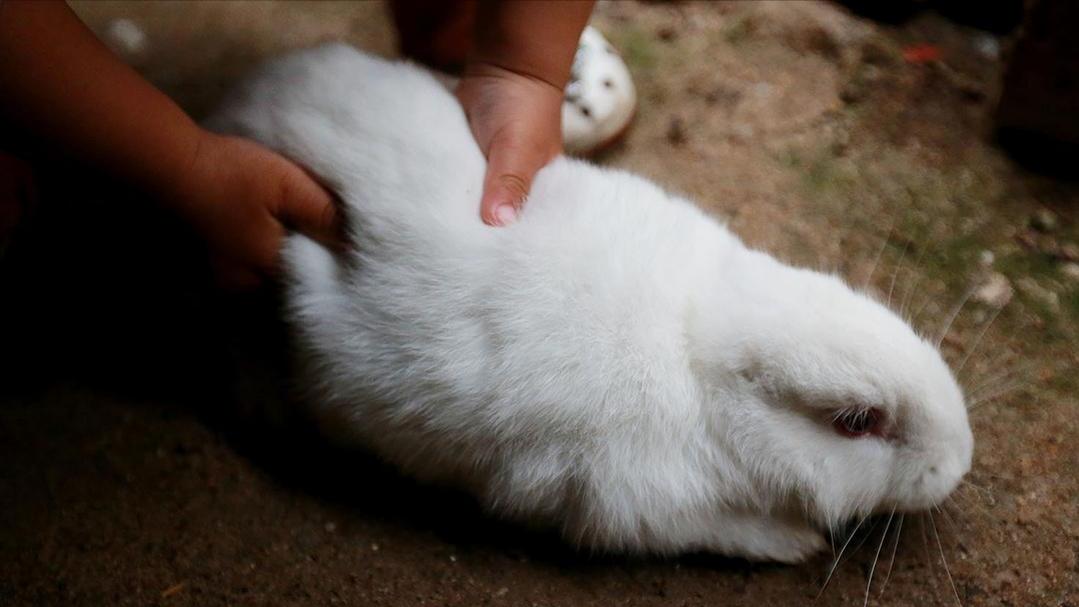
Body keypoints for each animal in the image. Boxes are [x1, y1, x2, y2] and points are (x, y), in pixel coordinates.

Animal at [206, 43, 973, 563]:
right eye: (855, 422)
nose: (960, 460)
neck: (694, 348)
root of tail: (241, 102)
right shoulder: (635, 504)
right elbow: (727, 531)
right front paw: (798, 542)